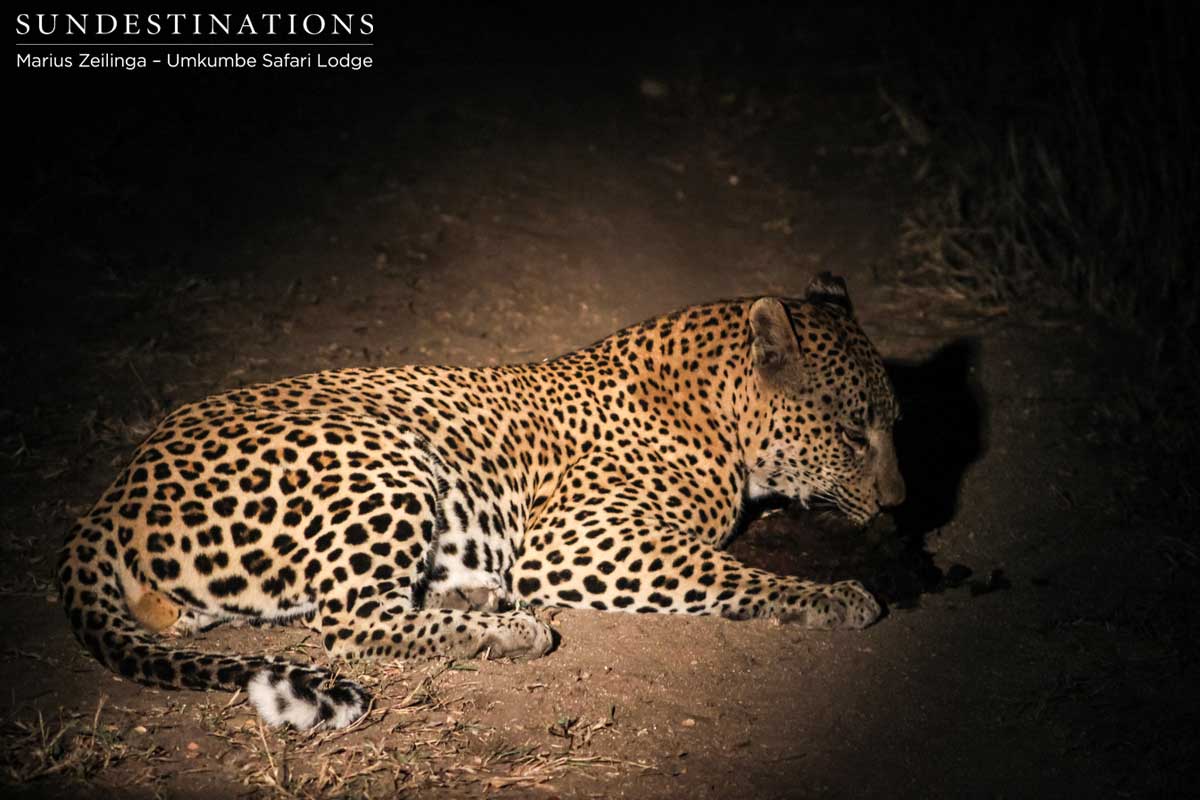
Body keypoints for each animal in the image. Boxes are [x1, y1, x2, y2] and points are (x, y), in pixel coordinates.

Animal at [58, 272, 905, 730]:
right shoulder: (579, 537)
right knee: (350, 624)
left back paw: (473, 595)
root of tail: (116, 490)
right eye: (854, 430)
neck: (717, 410)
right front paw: (835, 597)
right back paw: (509, 630)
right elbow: (729, 572)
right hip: (384, 457)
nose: (901, 504)